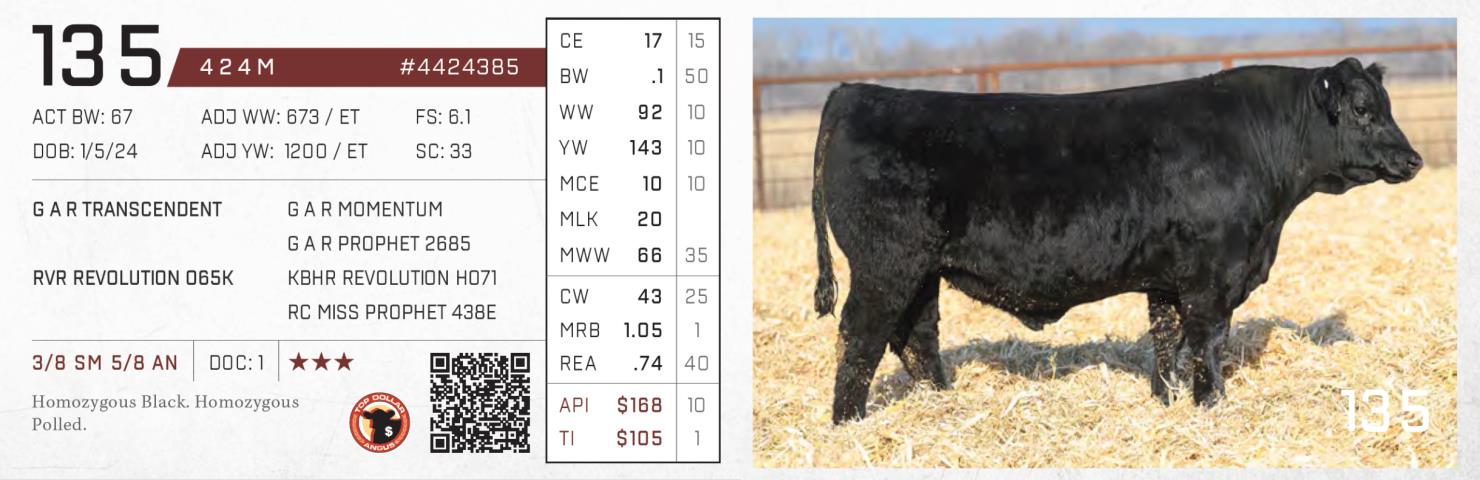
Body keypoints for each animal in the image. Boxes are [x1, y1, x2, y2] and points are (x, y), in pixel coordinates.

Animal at [811, 58, 1422, 424]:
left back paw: (943, 404)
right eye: (1363, 109)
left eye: (1385, 105)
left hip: (921, 270)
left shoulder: (1171, 279)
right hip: (886, 264)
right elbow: (1206, 343)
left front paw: (1166, 400)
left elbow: (1168, 342)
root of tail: (854, 92)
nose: (1412, 159)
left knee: (916, 335)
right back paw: (849, 421)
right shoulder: (1212, 278)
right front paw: (1211, 406)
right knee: (861, 336)